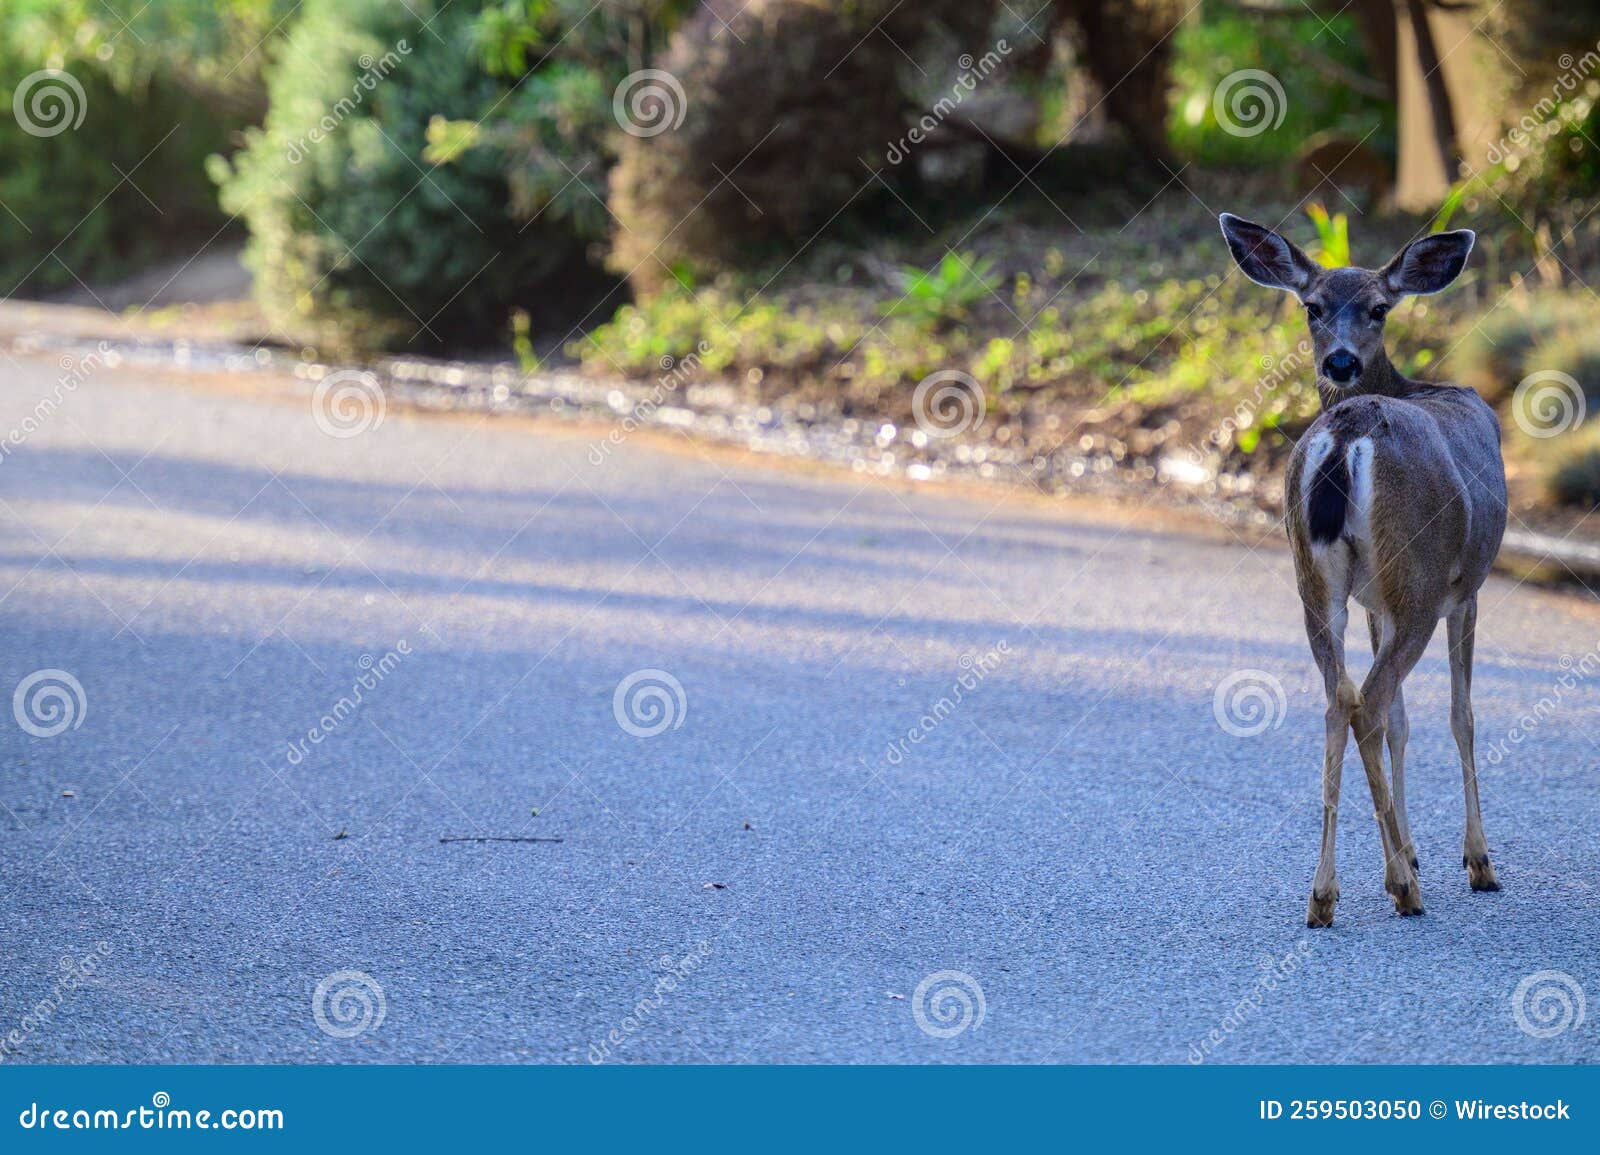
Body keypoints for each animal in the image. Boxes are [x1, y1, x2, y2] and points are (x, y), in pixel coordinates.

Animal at [1218, 213, 1506, 928]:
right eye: (1311, 306)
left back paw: (1326, 892)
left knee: (1338, 700)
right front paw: (1475, 860)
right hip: (1420, 580)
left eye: (1378, 308)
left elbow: (1405, 722)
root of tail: (1348, 434)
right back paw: (1402, 887)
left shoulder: (1377, 600)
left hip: (1316, 581)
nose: (1340, 361)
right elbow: (1459, 714)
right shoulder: (1467, 588)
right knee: (1368, 704)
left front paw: (1412, 848)